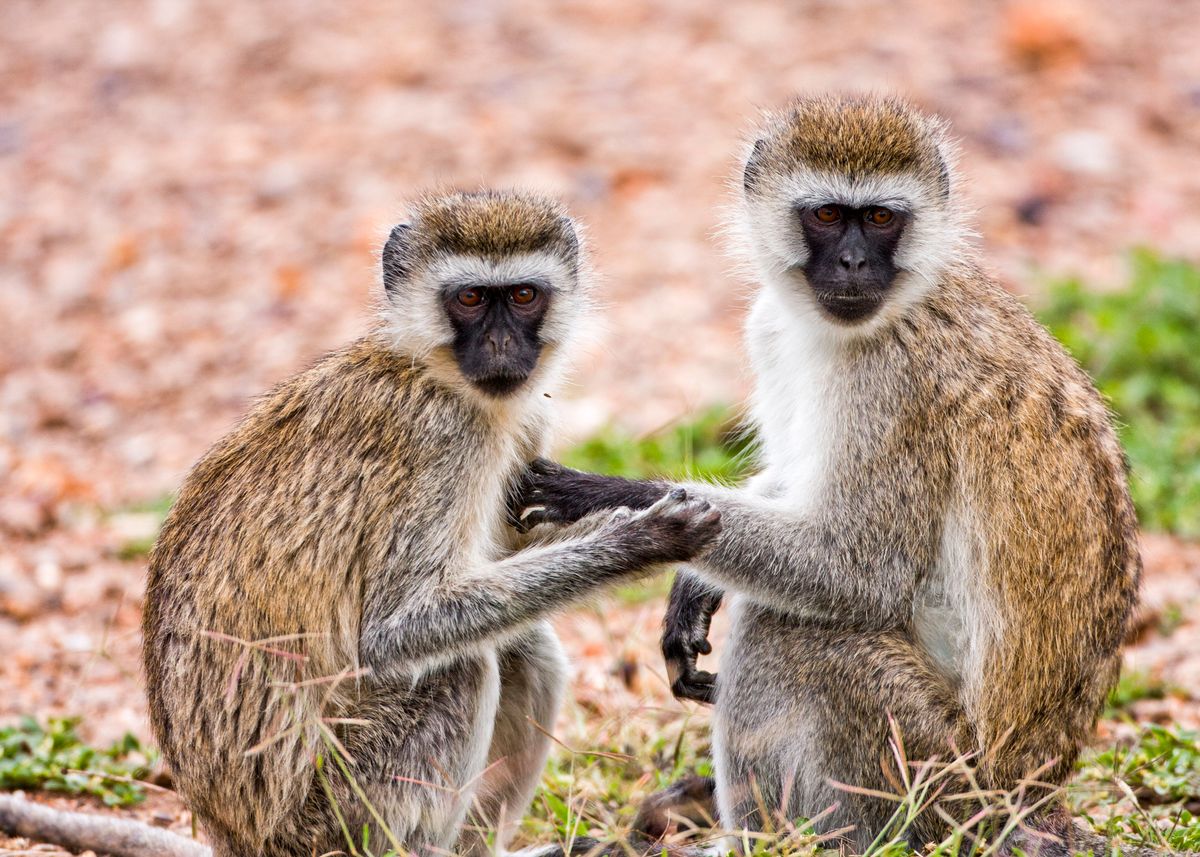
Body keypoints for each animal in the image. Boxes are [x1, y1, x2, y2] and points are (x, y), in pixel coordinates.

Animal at [0, 190, 722, 857]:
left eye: (522, 296)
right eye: (469, 299)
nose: (499, 346)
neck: (432, 370)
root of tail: (240, 838)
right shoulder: (441, 439)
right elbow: (392, 628)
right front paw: (641, 540)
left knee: (522, 645)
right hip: (330, 811)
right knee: (459, 667)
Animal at [514, 95, 1157, 856]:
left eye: (879, 218)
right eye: (826, 215)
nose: (852, 262)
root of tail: (1029, 798)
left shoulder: (893, 379)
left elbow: (861, 567)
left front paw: (616, 499)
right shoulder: (770, 327)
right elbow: (795, 481)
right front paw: (691, 581)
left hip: (934, 777)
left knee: (789, 628)